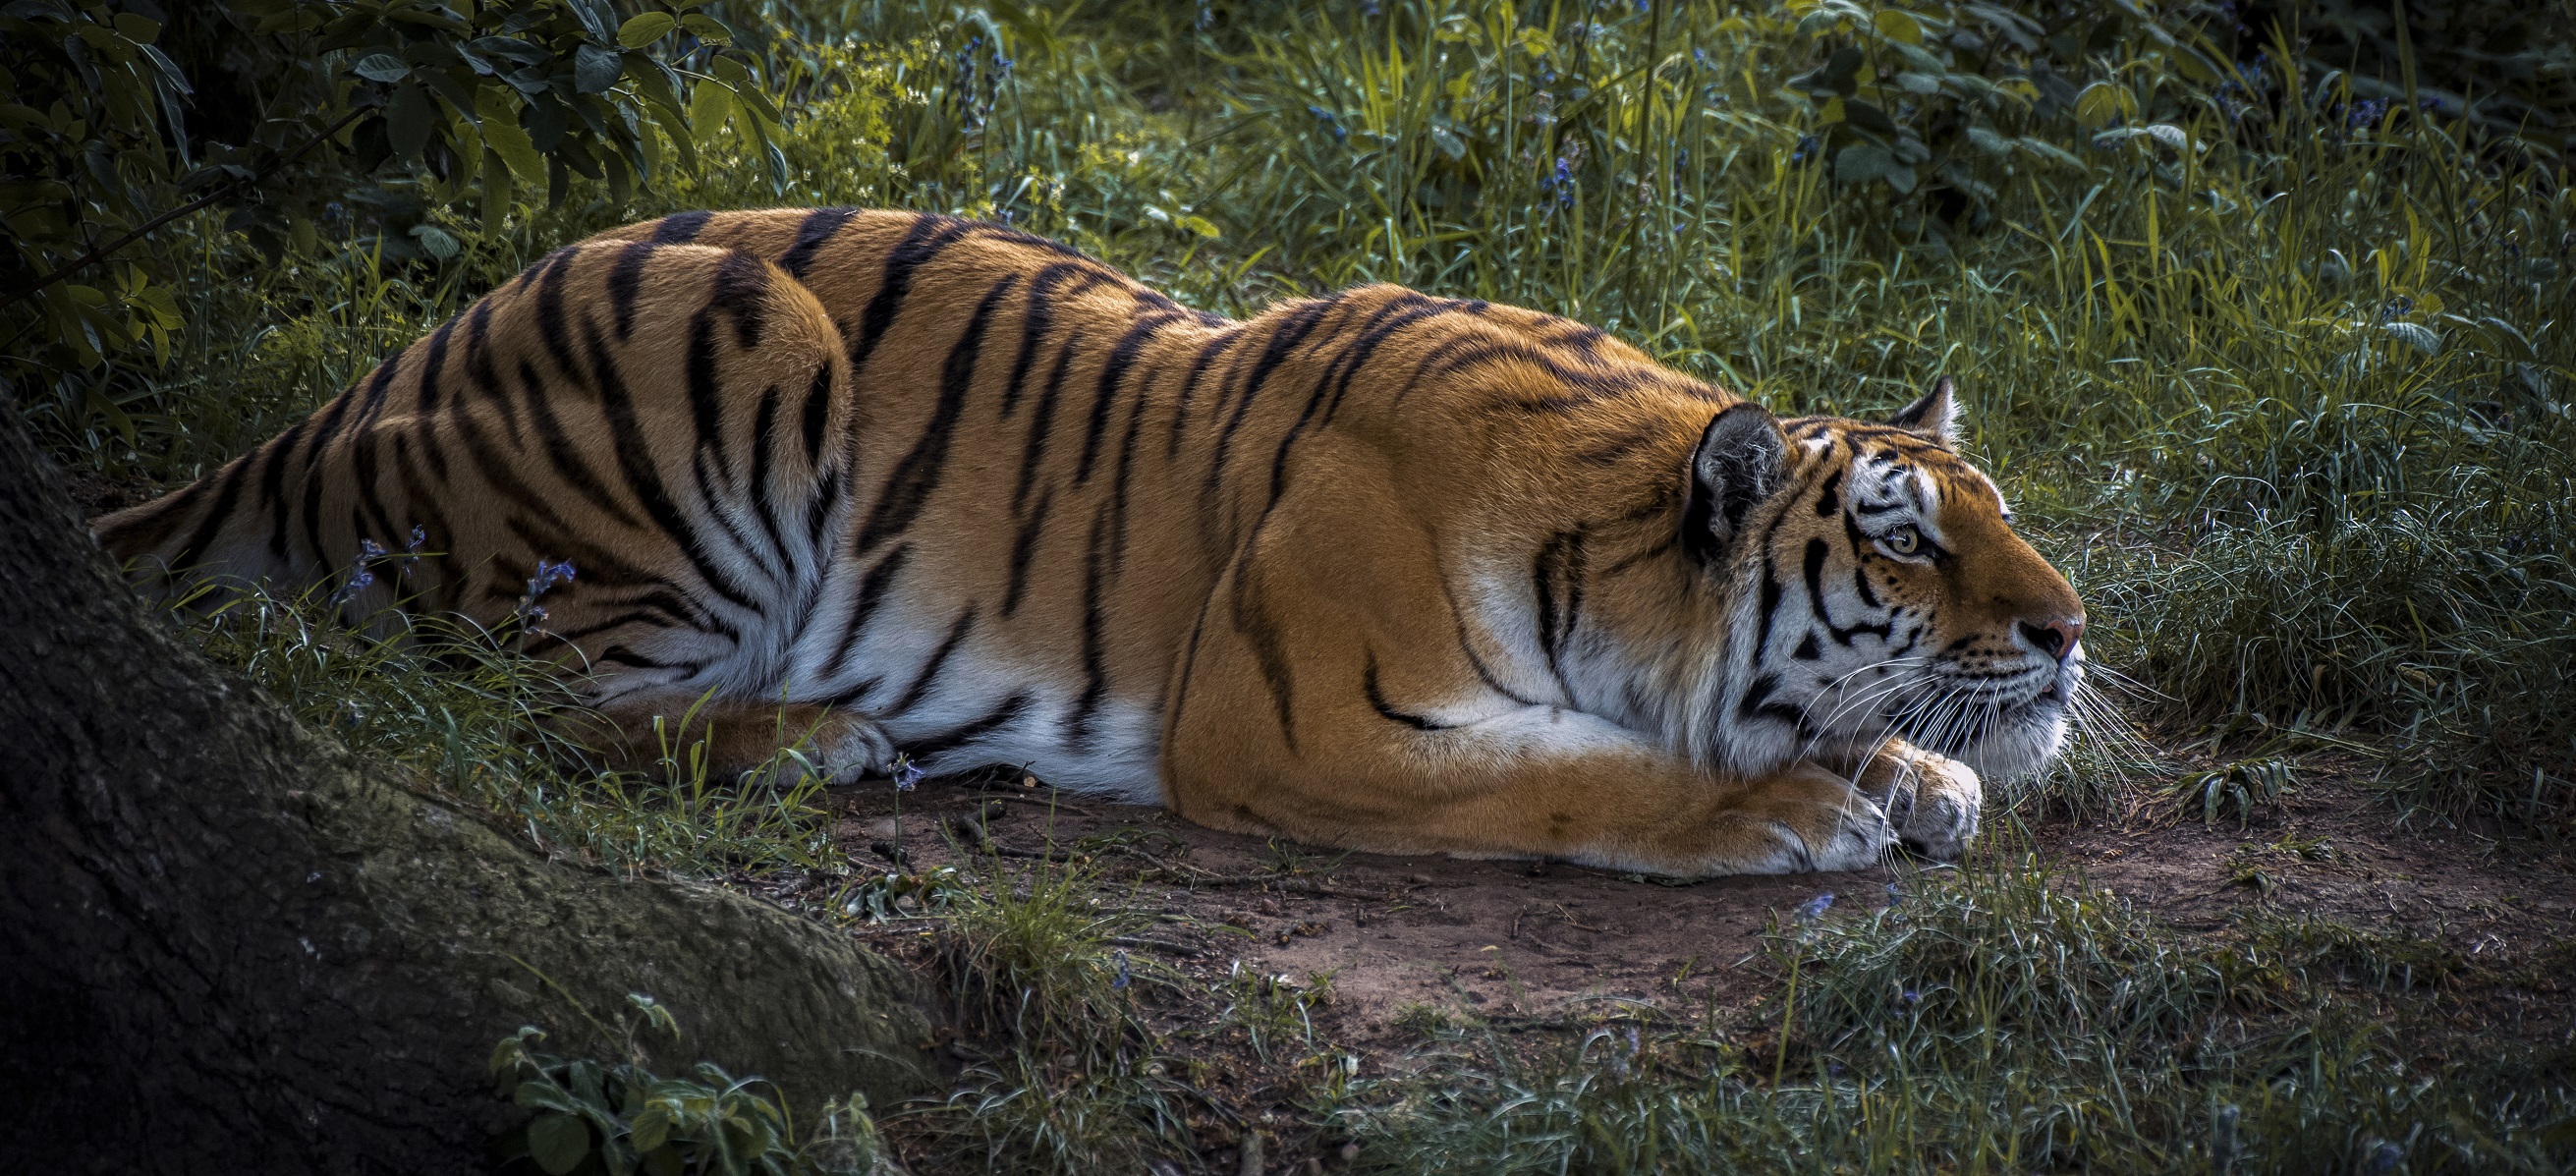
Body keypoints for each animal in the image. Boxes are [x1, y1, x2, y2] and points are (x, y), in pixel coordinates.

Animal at [93, 208, 2087, 878]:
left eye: (2003, 519)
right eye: (1906, 545)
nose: (2072, 633)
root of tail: (376, 373)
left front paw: (1910, 770)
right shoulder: (1299, 725)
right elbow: (1584, 773)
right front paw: (1799, 811)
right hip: (731, 341)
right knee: (497, 698)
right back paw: (815, 738)